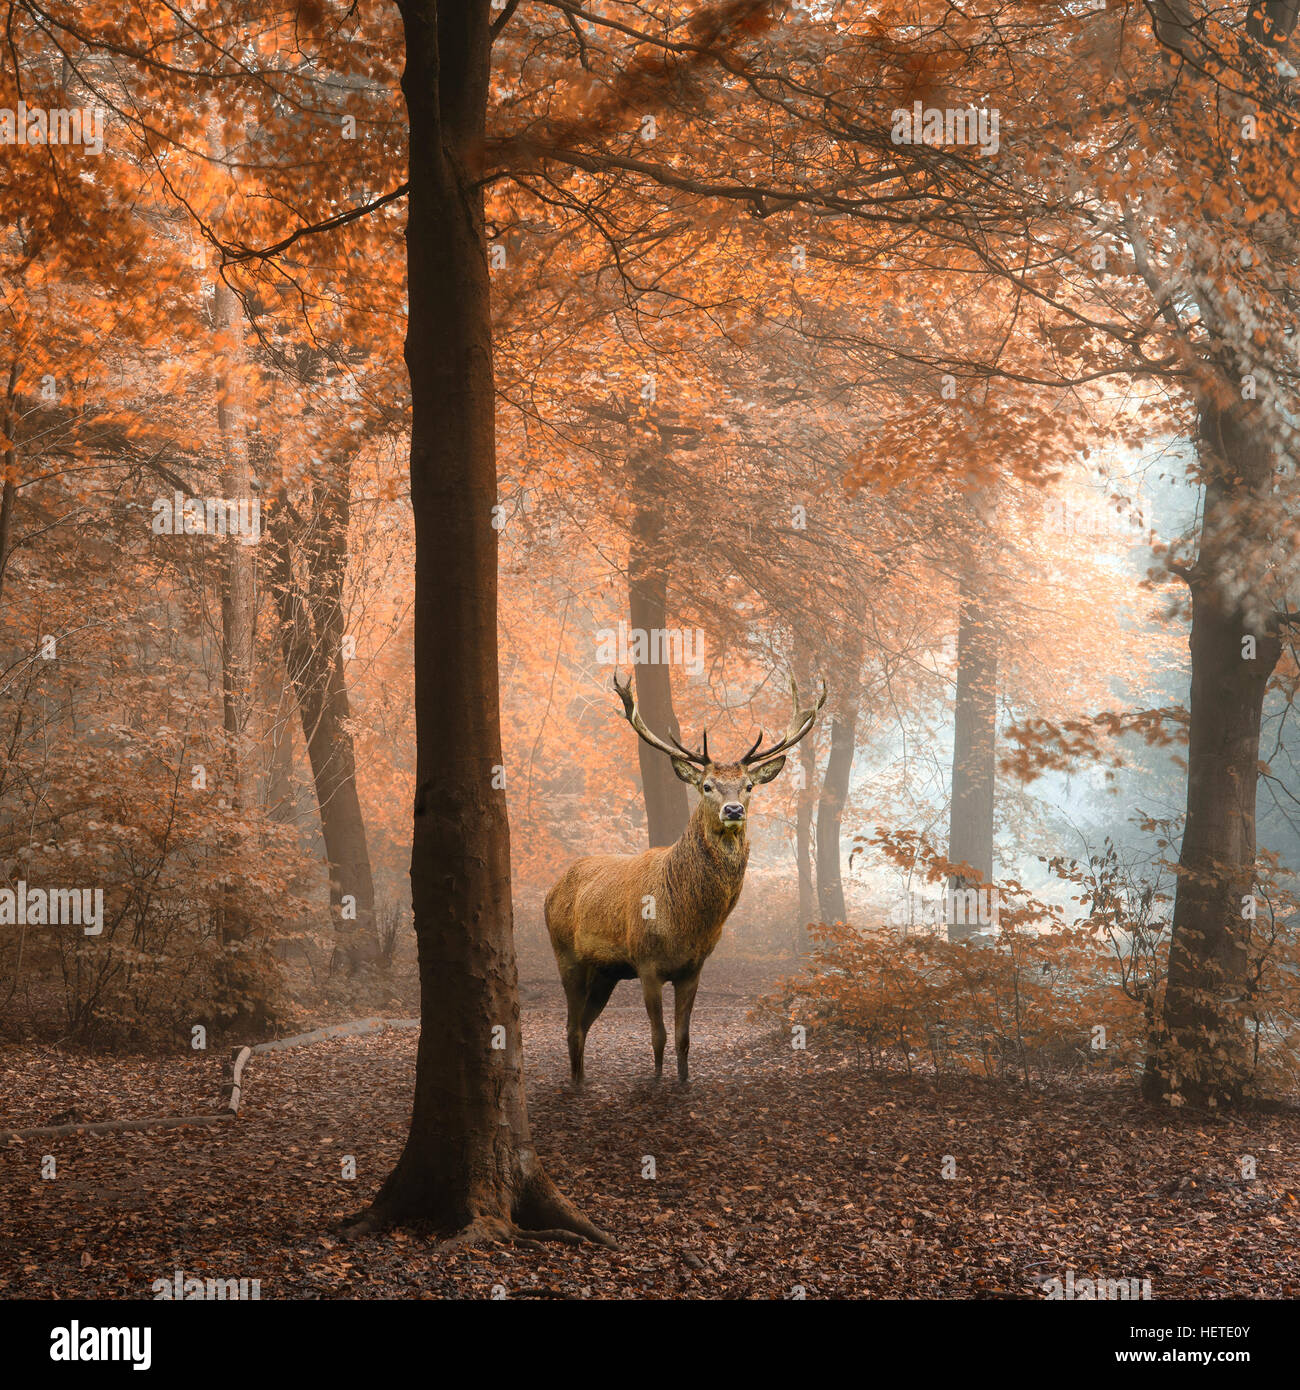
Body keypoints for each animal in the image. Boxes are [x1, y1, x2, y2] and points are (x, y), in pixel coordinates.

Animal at [545, 672, 826, 1086]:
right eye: (706, 786)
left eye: (748, 786)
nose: (733, 809)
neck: (684, 919)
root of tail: (552, 888)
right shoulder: (646, 962)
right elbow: (658, 1036)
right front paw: (657, 1082)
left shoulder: (693, 968)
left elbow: (683, 1038)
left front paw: (683, 1082)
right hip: (566, 953)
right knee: (570, 1025)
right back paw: (577, 1084)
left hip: (605, 972)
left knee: (582, 1023)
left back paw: (581, 1079)